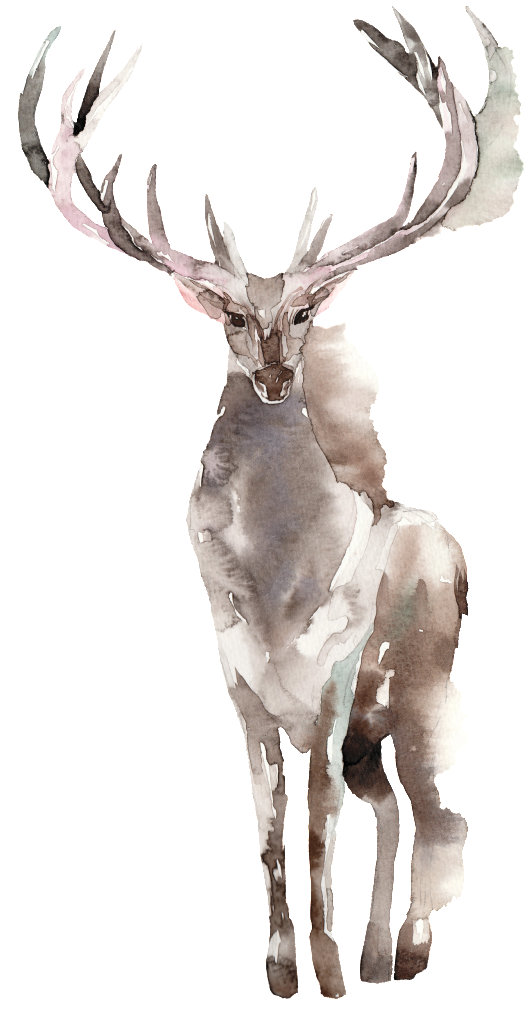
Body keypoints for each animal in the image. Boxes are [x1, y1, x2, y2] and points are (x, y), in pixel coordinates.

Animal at [18, 6, 524, 997]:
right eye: (227, 317)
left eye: (301, 312)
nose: (278, 373)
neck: (278, 589)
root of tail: (448, 543)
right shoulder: (240, 685)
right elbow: (267, 830)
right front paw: (285, 969)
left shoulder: (330, 689)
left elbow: (319, 825)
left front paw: (324, 973)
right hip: (371, 724)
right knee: (392, 808)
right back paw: (376, 956)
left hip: (416, 684)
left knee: (431, 807)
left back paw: (403, 951)